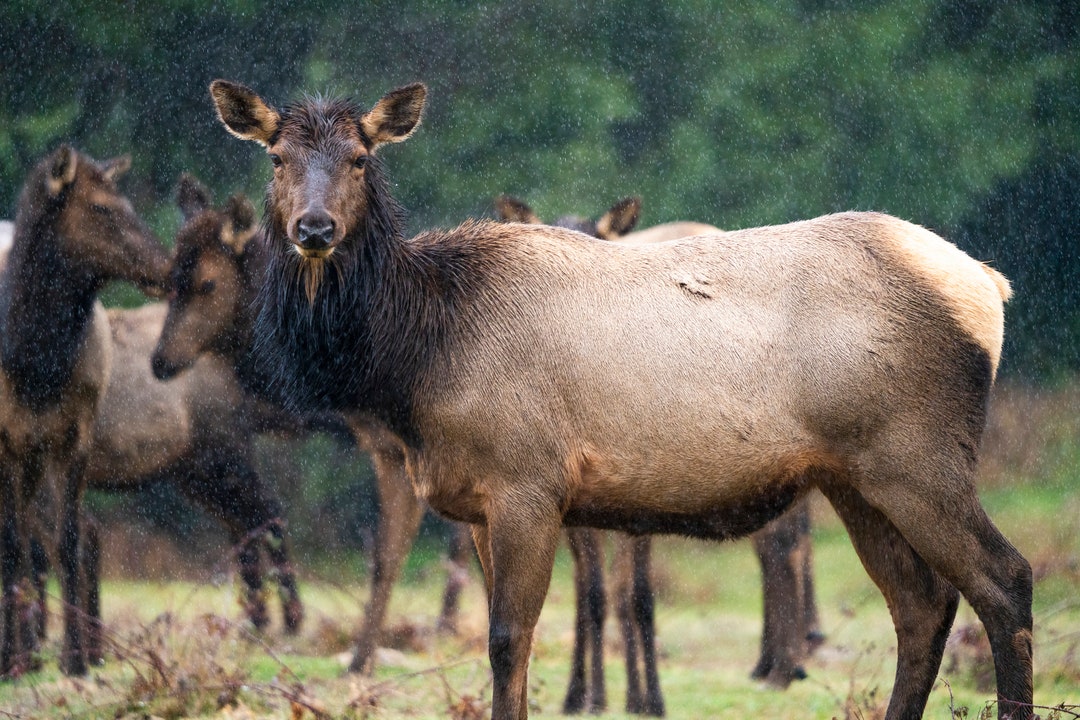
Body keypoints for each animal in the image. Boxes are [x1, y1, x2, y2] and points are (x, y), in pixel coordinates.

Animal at [0, 145, 171, 677]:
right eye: (101, 208)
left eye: (129, 204)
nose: (170, 267)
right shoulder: (6, 441)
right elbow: (13, 546)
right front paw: (14, 659)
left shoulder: (72, 435)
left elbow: (68, 541)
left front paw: (73, 659)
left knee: (67, 538)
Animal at [497, 195, 822, 714]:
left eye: (601, 247)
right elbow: (591, 594)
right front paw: (584, 695)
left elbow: (639, 596)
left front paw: (647, 696)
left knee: (781, 539)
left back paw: (781, 664)